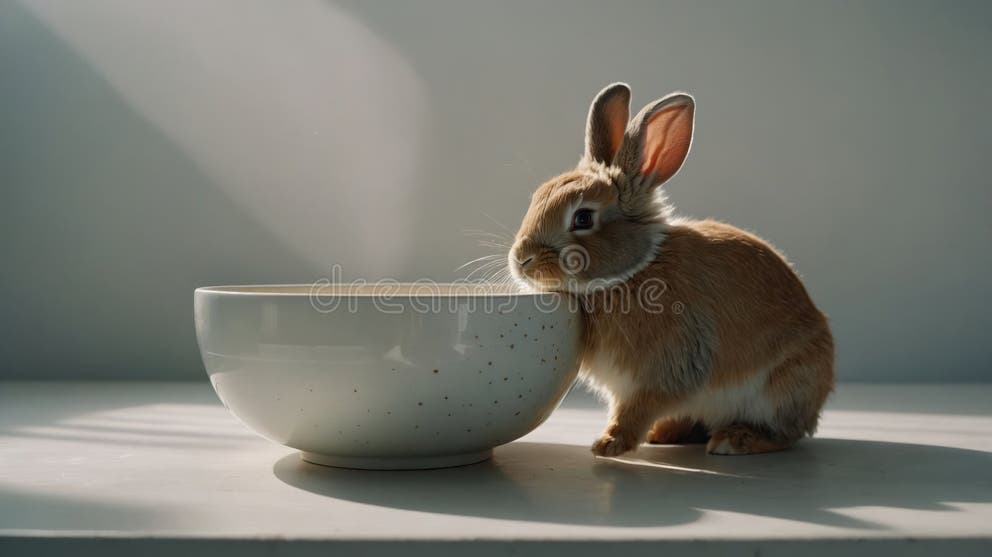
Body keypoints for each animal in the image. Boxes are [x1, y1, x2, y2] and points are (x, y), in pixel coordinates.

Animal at [508, 83, 834, 456]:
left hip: (783, 390)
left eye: (583, 218)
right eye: (537, 197)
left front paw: (608, 444)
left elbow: (635, 409)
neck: (631, 271)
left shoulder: (666, 369)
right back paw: (665, 433)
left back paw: (735, 440)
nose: (521, 259)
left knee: (785, 433)